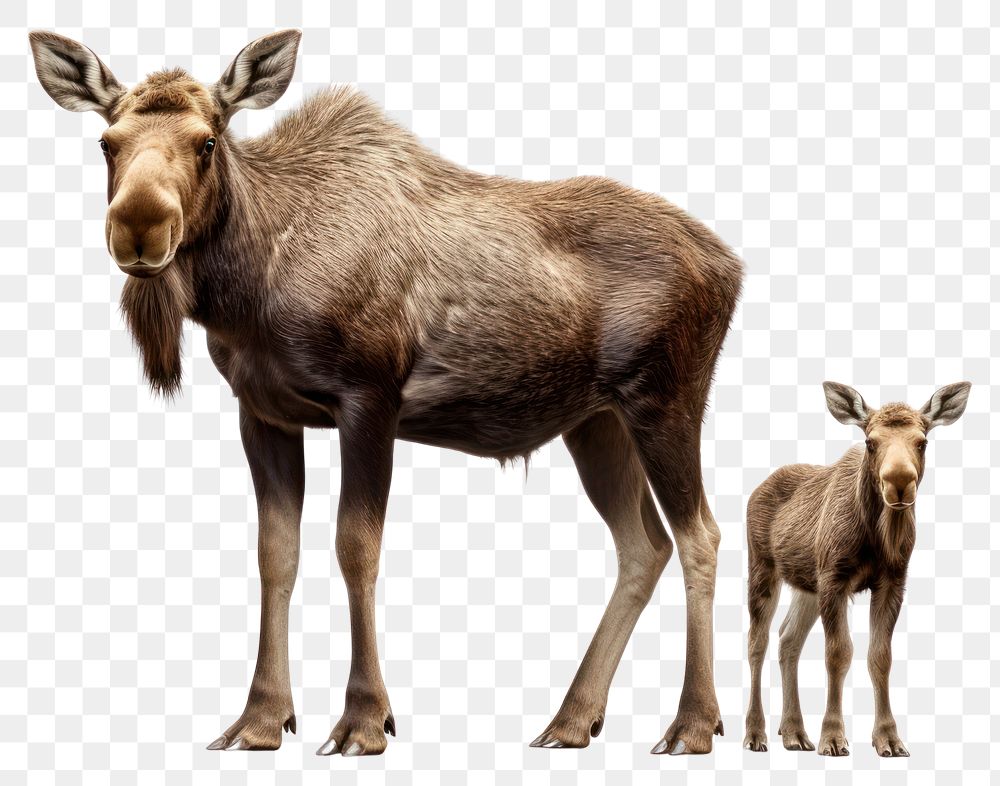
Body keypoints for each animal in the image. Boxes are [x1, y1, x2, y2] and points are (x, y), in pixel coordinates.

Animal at [29, 29, 744, 756]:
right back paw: (573, 718)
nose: (139, 226)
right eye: (107, 141)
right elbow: (275, 554)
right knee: (644, 545)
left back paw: (693, 723)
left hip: (666, 400)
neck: (249, 290)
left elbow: (356, 548)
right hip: (595, 422)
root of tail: (731, 265)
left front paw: (364, 720)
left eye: (207, 140)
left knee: (701, 535)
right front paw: (261, 719)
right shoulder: (264, 412)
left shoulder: (370, 396)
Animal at [742, 381, 971, 758]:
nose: (898, 481)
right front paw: (833, 738)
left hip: (807, 584)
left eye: (922, 441)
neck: (878, 539)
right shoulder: (834, 579)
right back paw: (756, 733)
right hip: (763, 567)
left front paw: (889, 739)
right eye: (870, 441)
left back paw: (794, 733)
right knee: (756, 643)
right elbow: (838, 653)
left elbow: (880, 657)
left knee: (788, 639)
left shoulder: (892, 581)